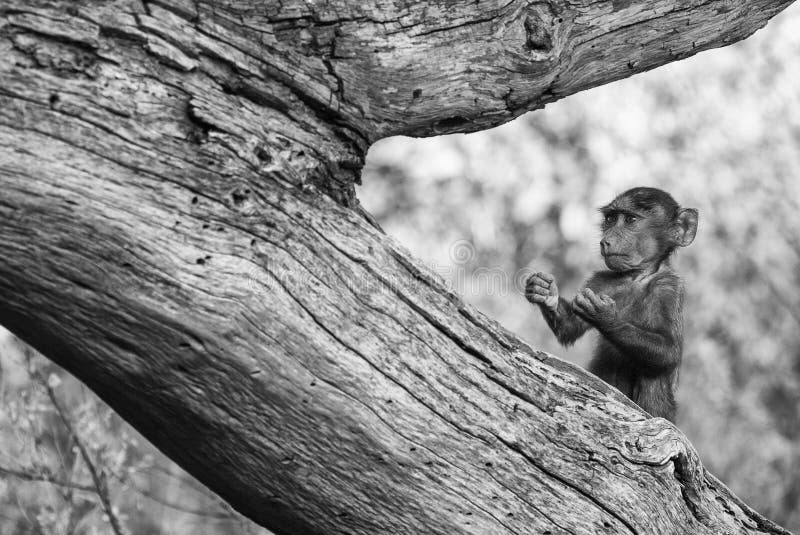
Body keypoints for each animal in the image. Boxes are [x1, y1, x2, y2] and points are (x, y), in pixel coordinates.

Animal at [525, 187, 698, 422]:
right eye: (610, 219)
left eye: (631, 219)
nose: (606, 240)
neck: (636, 277)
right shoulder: (600, 281)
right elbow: (569, 327)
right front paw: (545, 291)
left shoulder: (670, 287)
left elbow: (669, 351)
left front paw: (605, 317)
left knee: (653, 373)